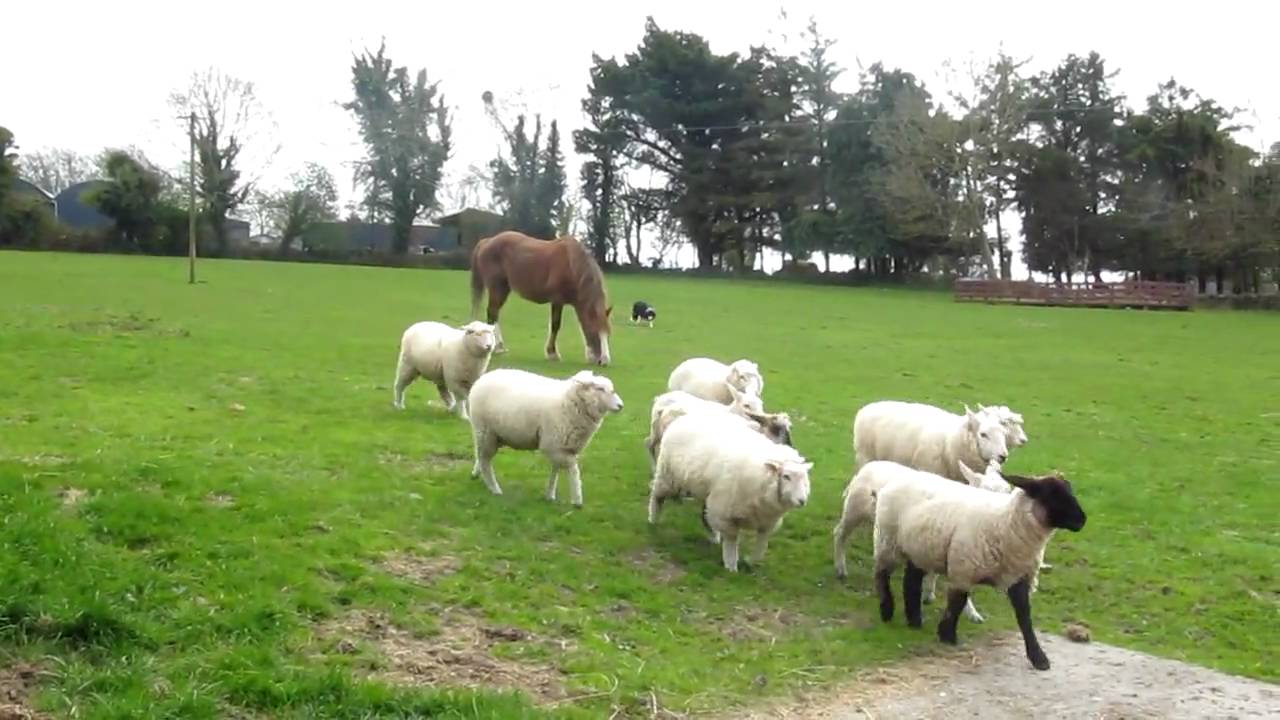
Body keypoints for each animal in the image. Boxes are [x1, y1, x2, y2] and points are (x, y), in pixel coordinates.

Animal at [467, 368, 624, 507]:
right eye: (600, 388)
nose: (620, 405)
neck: (569, 401)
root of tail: (483, 378)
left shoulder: (562, 446)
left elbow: (556, 469)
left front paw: (550, 494)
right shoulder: (553, 444)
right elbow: (573, 469)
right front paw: (577, 500)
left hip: (493, 435)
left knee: (480, 456)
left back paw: (476, 473)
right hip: (485, 431)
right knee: (485, 461)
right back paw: (494, 488)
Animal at [648, 412, 811, 572]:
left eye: (805, 477)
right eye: (786, 476)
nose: (802, 501)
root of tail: (687, 416)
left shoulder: (767, 521)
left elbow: (761, 545)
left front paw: (751, 562)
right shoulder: (725, 515)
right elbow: (732, 542)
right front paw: (731, 567)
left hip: (708, 491)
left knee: (705, 514)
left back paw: (713, 537)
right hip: (668, 475)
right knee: (657, 497)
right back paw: (653, 520)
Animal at [832, 460, 1012, 623]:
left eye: (1009, 491)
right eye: (988, 490)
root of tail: (869, 466)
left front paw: (929, 593)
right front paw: (972, 613)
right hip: (855, 510)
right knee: (840, 534)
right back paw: (841, 569)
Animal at [852, 400, 1010, 481]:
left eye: (1005, 433)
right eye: (983, 434)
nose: (1003, 456)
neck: (950, 441)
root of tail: (867, 407)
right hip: (865, 457)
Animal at [872, 466, 1086, 671]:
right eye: (1052, 494)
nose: (1082, 520)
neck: (1005, 523)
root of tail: (900, 477)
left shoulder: (1019, 576)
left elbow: (1024, 616)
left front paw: (1038, 658)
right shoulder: (963, 570)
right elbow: (957, 604)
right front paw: (948, 636)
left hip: (920, 548)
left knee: (911, 581)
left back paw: (914, 620)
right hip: (888, 540)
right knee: (882, 574)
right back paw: (887, 610)